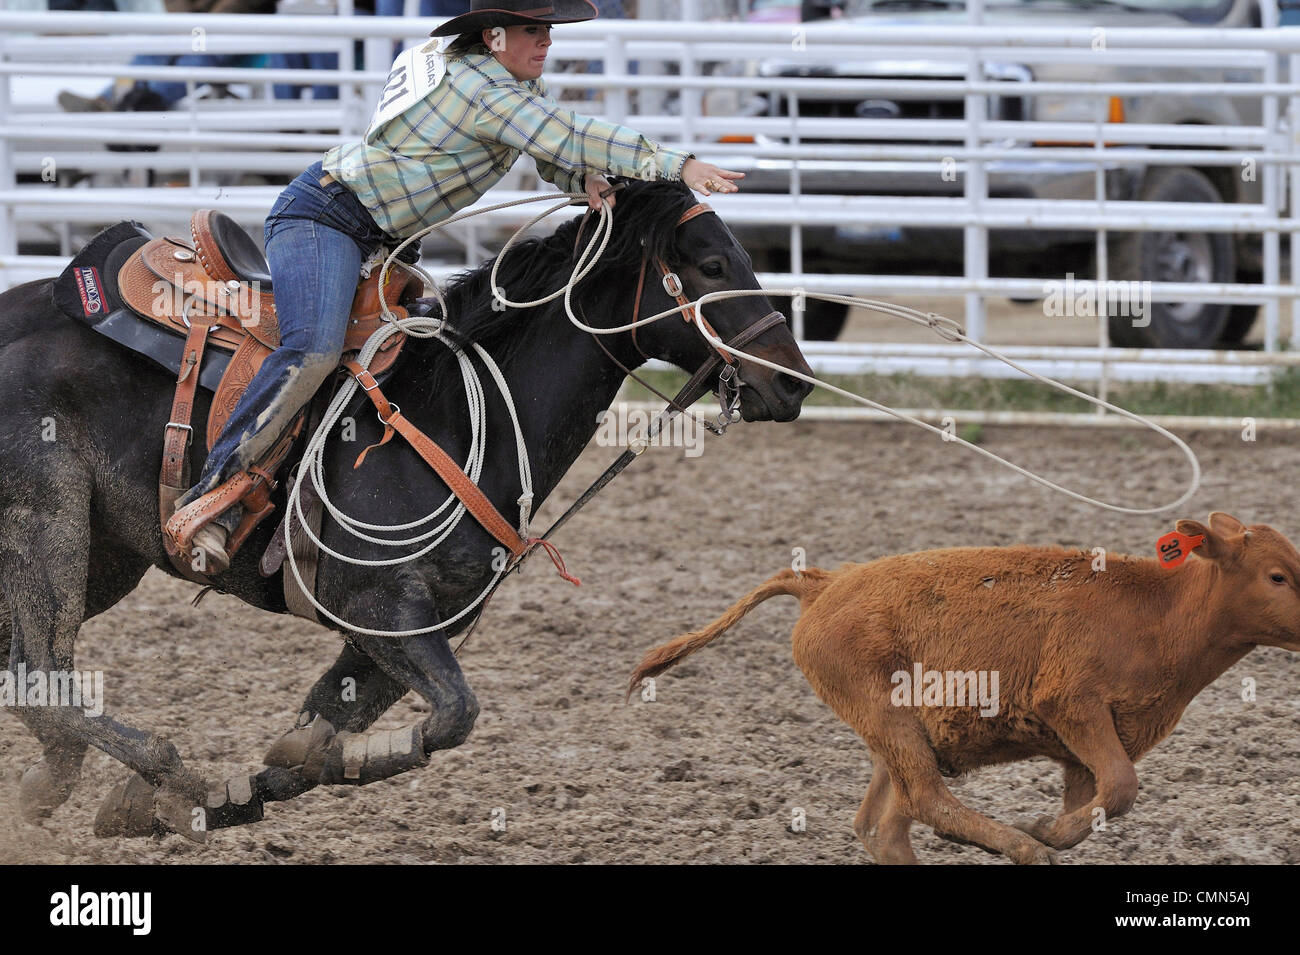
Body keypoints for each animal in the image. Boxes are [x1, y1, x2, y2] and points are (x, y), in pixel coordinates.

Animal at [627, 513, 1300, 864]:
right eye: (1277, 576)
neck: (1159, 614)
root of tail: (824, 584)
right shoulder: (1073, 705)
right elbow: (1123, 787)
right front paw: (1043, 834)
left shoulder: (1079, 751)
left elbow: (1101, 796)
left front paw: (1058, 828)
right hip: (888, 717)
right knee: (924, 801)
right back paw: (1019, 845)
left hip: (901, 736)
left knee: (882, 825)